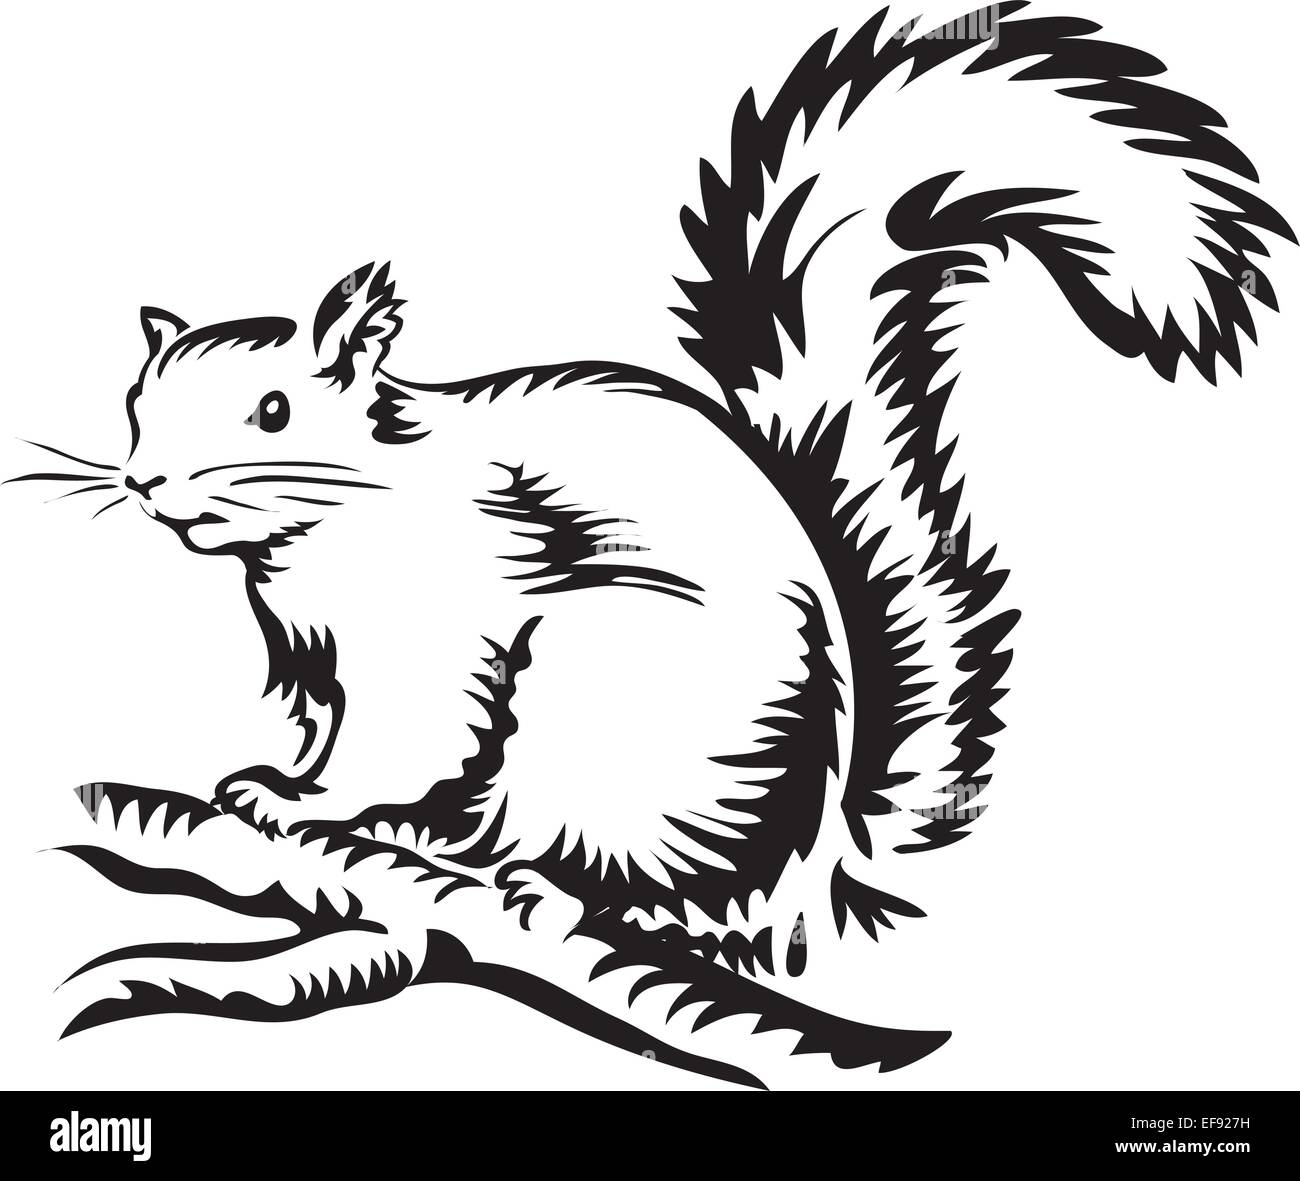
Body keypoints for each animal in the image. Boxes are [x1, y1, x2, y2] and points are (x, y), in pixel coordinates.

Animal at [20, 3, 1291, 1074]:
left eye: (275, 411)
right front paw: (281, 778)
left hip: (608, 697)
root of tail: (816, 866)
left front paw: (309, 806)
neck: (337, 519)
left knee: (652, 879)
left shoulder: (442, 619)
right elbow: (337, 729)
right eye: (136, 402)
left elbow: (409, 735)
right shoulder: (316, 652)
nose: (147, 480)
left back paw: (545, 880)